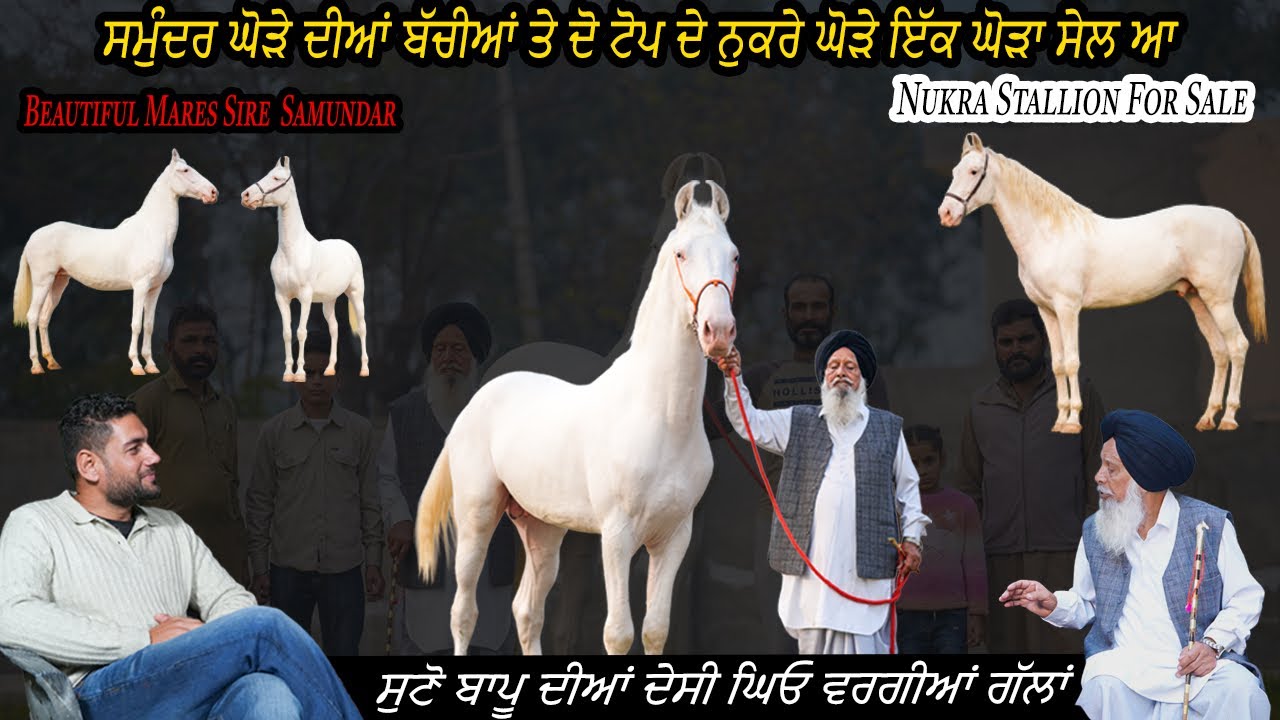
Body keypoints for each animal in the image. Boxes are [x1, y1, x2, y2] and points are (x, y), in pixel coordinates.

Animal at [12, 148, 219, 376]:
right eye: (184, 170)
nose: (213, 193)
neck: (152, 232)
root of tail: (33, 237)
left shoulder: (156, 288)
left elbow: (149, 325)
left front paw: (151, 365)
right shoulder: (140, 286)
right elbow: (136, 324)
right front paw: (136, 365)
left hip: (59, 281)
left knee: (44, 318)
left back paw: (52, 362)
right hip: (43, 281)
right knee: (32, 317)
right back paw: (36, 366)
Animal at [240, 156, 370, 381]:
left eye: (276, 178)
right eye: (266, 174)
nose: (245, 196)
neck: (291, 251)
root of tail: (348, 247)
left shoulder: (305, 297)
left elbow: (301, 332)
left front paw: (300, 374)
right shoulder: (281, 297)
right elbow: (286, 333)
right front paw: (287, 374)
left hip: (355, 293)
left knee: (362, 327)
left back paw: (364, 369)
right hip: (328, 300)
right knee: (334, 328)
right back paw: (330, 369)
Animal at [414, 179, 738, 656]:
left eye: (733, 255)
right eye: (681, 253)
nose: (718, 331)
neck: (661, 419)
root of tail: (478, 399)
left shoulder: (673, 538)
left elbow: (655, 629)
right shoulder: (617, 536)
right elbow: (618, 633)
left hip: (543, 529)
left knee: (527, 612)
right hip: (478, 515)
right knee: (464, 613)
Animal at [938, 132, 1266, 433]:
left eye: (974, 172)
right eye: (954, 171)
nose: (946, 214)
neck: (1049, 234)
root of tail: (1233, 220)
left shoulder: (1068, 308)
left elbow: (1072, 361)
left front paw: (1072, 422)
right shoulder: (1047, 311)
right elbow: (1057, 364)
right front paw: (1059, 421)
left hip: (1218, 299)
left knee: (1237, 345)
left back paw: (1228, 418)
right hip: (1197, 298)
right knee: (1220, 351)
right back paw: (1207, 418)